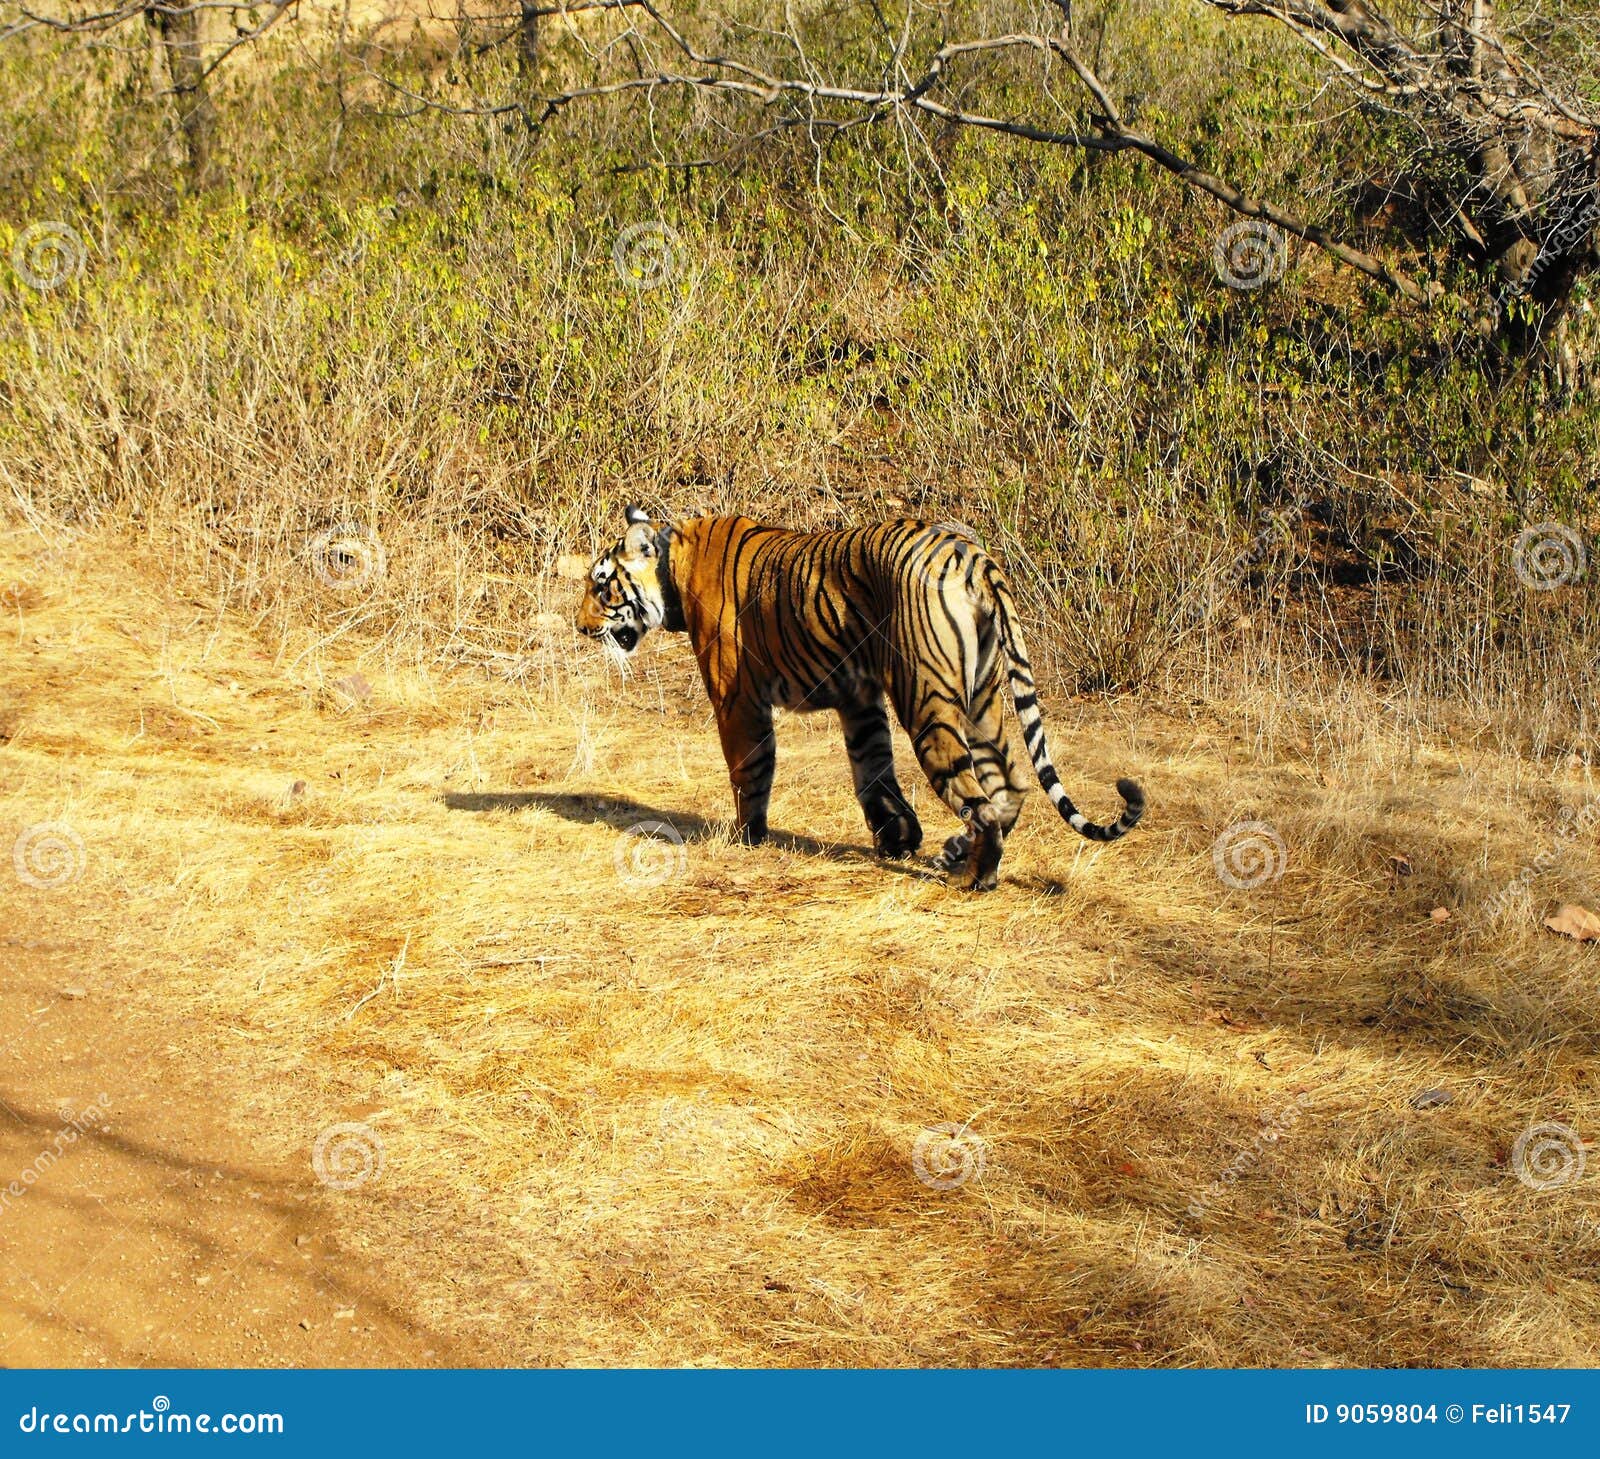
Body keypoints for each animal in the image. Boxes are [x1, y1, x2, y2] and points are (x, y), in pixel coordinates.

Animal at [575, 506, 1144, 890]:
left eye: (602, 586)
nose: (579, 627)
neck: (674, 564)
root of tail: (973, 556)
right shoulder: (859, 699)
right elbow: (873, 772)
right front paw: (899, 838)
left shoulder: (737, 699)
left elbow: (749, 770)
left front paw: (745, 837)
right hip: (982, 702)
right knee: (1009, 788)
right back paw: (963, 857)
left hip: (927, 699)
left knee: (979, 799)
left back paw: (972, 876)